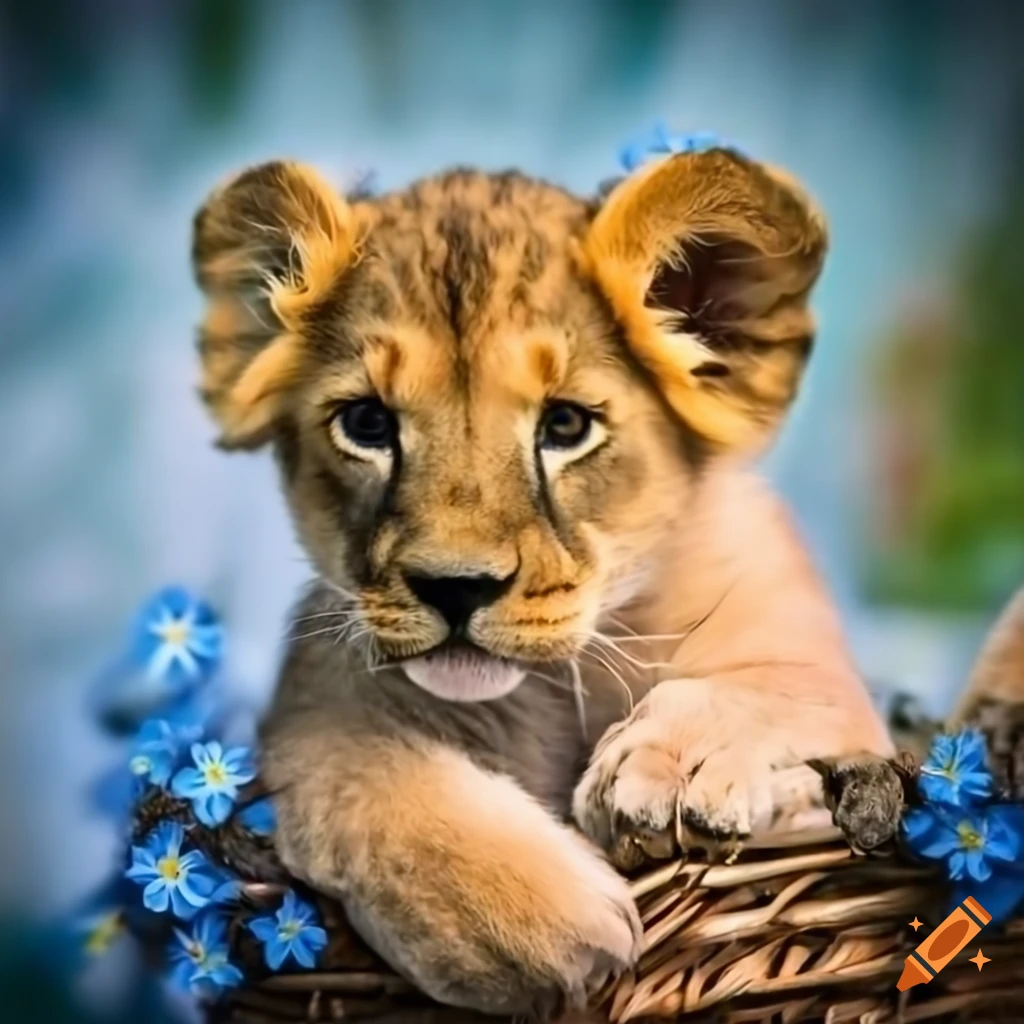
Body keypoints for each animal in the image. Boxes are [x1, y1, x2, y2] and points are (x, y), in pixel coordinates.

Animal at [190, 150, 894, 1015]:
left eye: (565, 426)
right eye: (367, 424)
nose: (455, 587)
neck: (557, 691)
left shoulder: (827, 680)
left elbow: (781, 693)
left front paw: (672, 770)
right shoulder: (311, 714)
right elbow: (365, 781)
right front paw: (550, 929)